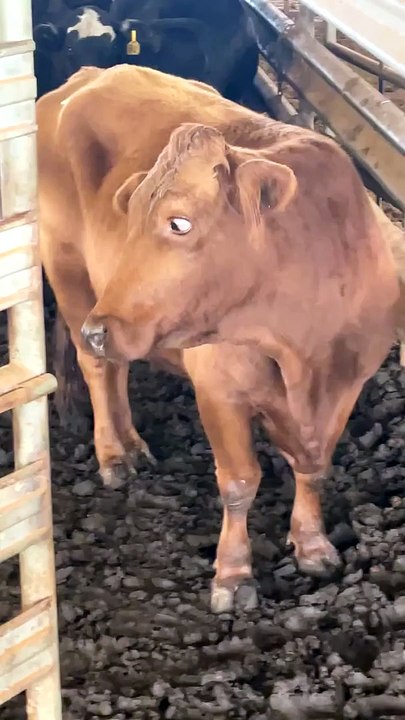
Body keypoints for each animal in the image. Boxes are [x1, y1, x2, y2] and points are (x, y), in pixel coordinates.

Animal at [36, 64, 399, 613]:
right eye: (132, 213)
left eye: (179, 222)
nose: (99, 330)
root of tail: (90, 74)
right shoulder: (219, 389)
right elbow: (240, 481)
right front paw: (232, 575)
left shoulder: (347, 384)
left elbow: (314, 468)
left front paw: (313, 544)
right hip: (70, 272)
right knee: (98, 367)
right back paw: (113, 455)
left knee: (116, 366)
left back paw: (131, 441)